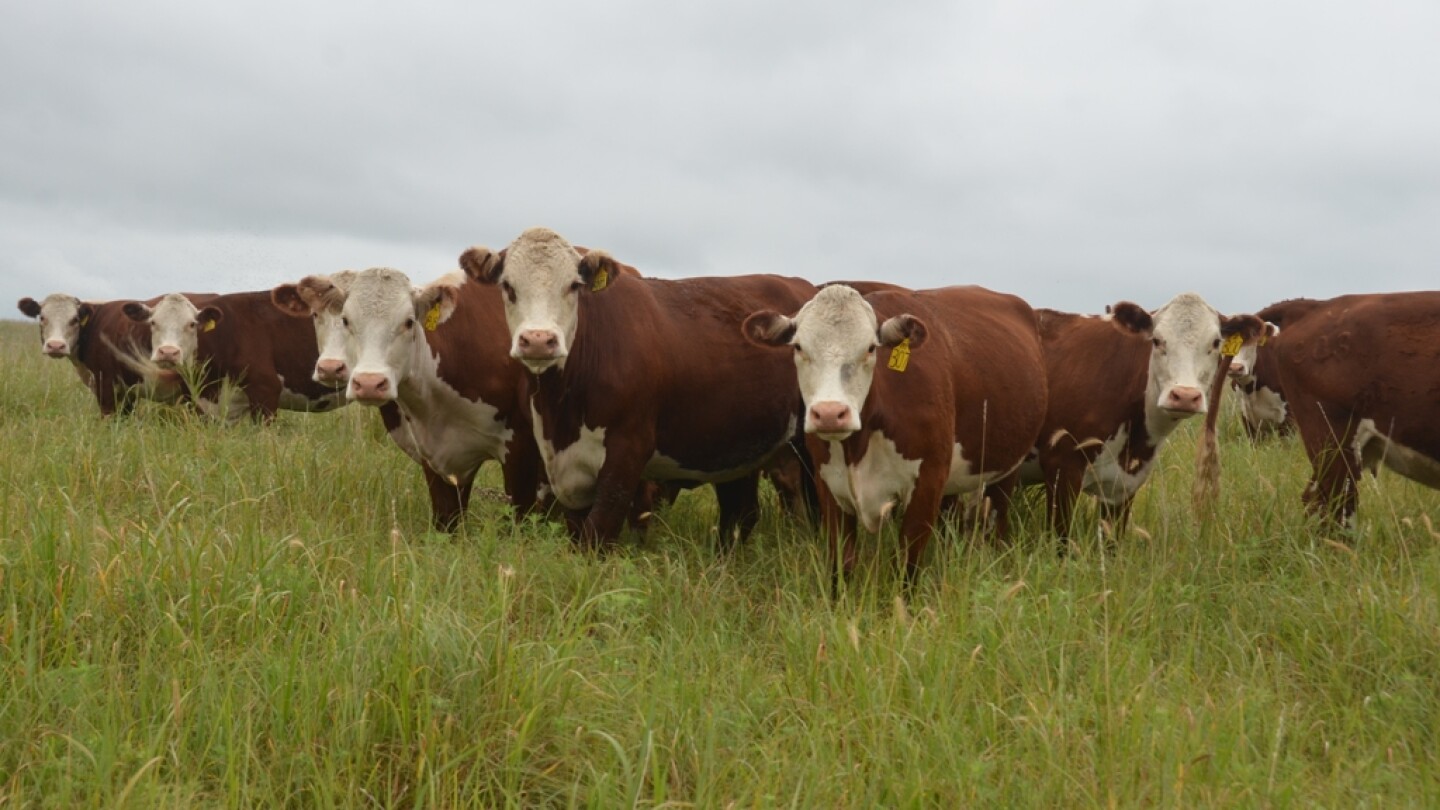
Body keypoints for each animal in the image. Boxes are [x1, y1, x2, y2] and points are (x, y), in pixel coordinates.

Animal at [459, 227, 819, 550]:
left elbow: (598, 534)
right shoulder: (564, 468)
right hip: (735, 445)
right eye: (507, 286)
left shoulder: (626, 453)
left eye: (573, 286)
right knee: (740, 514)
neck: (561, 408)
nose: (538, 340)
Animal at [743, 283, 1048, 588]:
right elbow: (842, 564)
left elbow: (906, 568)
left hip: (1006, 469)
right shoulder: (828, 483)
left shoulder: (927, 482)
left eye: (870, 348)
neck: (858, 447)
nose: (830, 413)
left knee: (997, 519)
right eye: (798, 347)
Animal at [1024, 293, 1265, 544]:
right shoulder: (1062, 467)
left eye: (1216, 342)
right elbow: (1061, 541)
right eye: (1157, 340)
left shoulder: (1123, 485)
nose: (1185, 396)